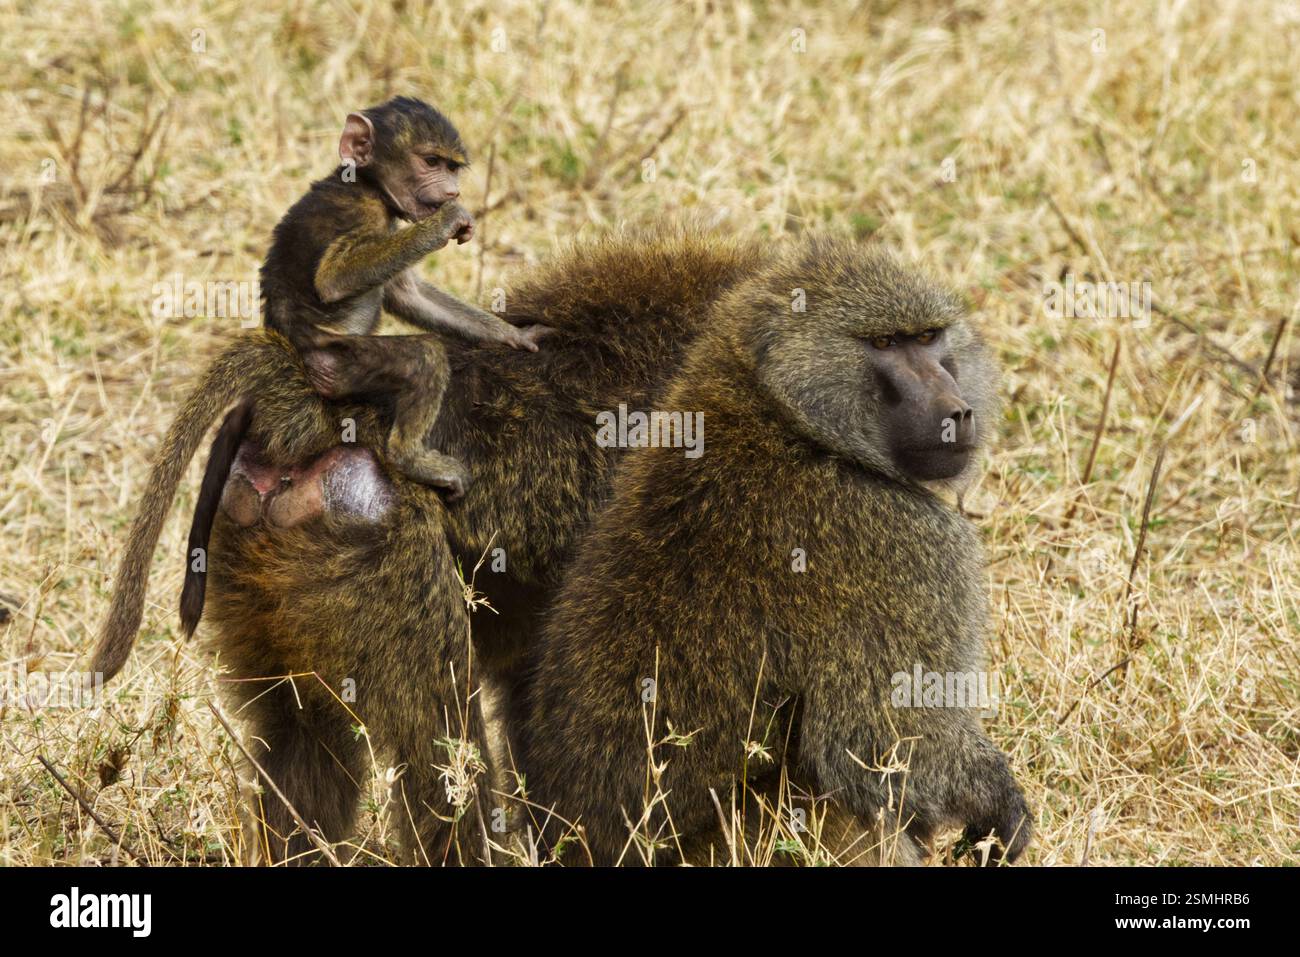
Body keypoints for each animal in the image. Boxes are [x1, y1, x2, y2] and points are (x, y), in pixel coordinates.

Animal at [263, 95, 551, 500]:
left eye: (451, 167)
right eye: (430, 162)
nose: (452, 193)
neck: (366, 185)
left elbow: (408, 294)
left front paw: (516, 336)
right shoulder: (359, 213)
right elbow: (335, 278)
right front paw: (446, 222)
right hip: (341, 363)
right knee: (425, 356)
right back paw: (409, 458)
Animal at [515, 236, 1032, 866]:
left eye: (930, 336)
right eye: (884, 343)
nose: (956, 410)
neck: (789, 421)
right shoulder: (907, 545)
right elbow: (877, 743)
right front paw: (1000, 808)